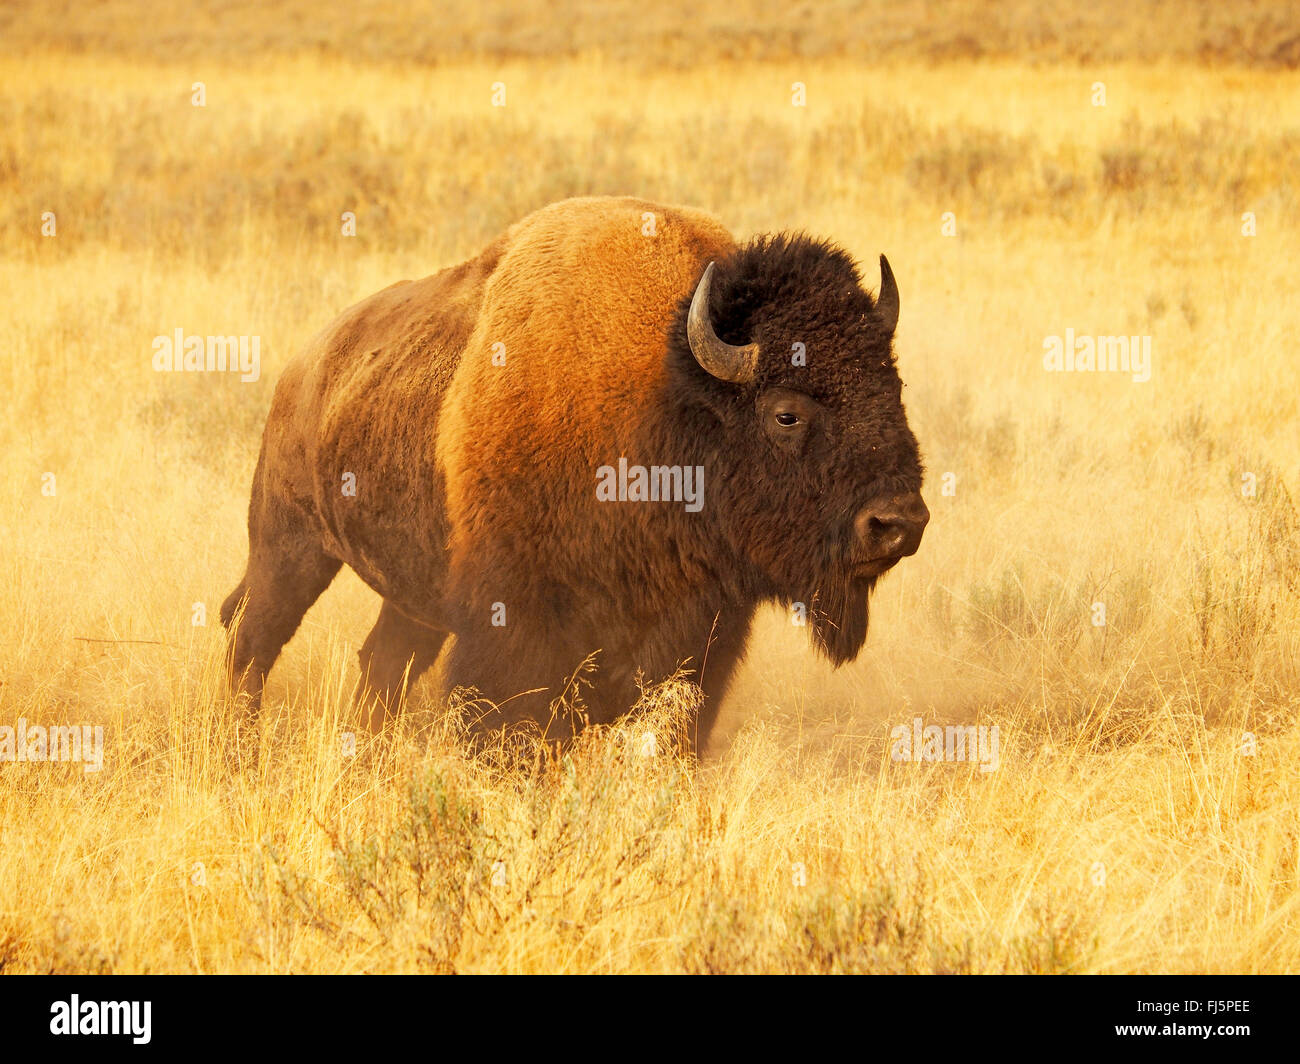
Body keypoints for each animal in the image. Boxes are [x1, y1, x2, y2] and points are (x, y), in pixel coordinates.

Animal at [221, 196, 928, 751]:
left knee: (381, 664)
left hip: (411, 596)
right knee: (251, 639)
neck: (666, 400)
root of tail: (302, 368)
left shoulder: (704, 639)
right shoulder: (512, 635)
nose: (899, 523)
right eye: (786, 413)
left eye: (894, 386)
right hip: (290, 547)